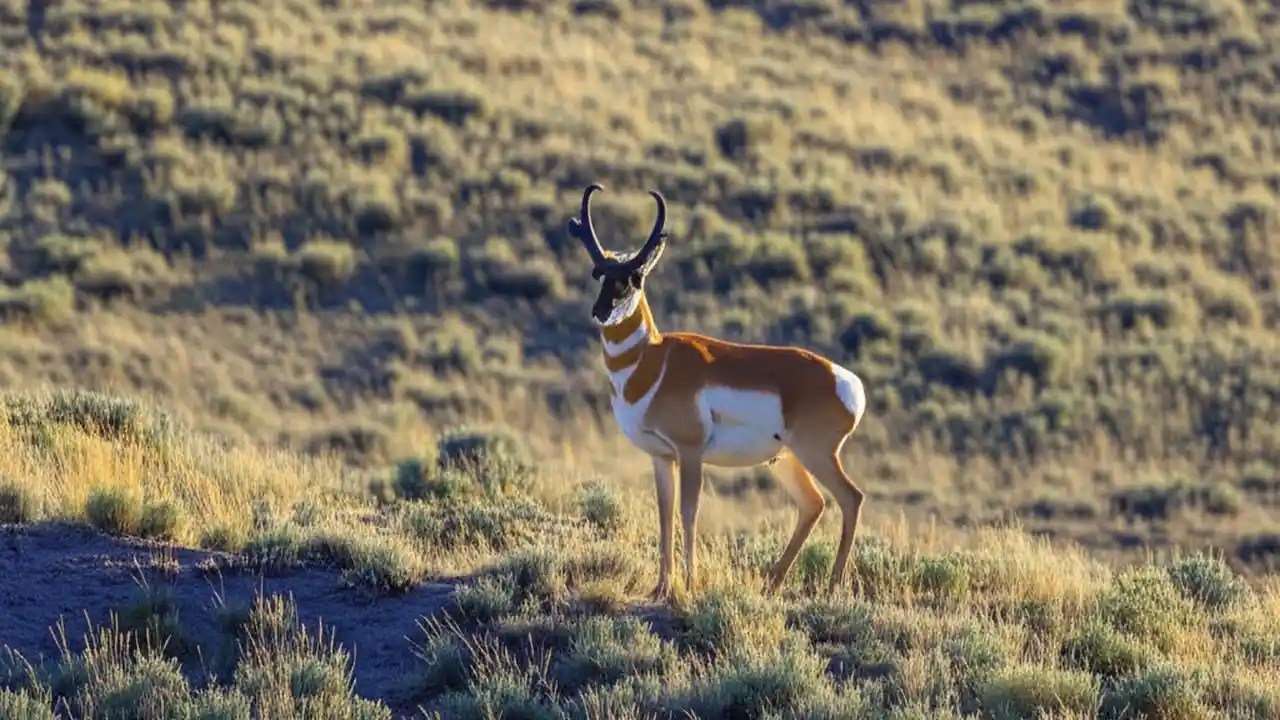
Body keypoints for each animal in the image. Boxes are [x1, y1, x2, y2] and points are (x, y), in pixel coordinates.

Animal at [567, 184, 869, 601]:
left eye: (635, 278)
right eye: (600, 273)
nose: (601, 312)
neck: (653, 361)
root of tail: (844, 379)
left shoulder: (691, 453)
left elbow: (688, 512)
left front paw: (690, 585)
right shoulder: (661, 457)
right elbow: (664, 514)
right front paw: (660, 588)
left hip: (816, 454)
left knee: (850, 497)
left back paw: (831, 586)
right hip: (785, 460)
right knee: (814, 504)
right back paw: (772, 584)